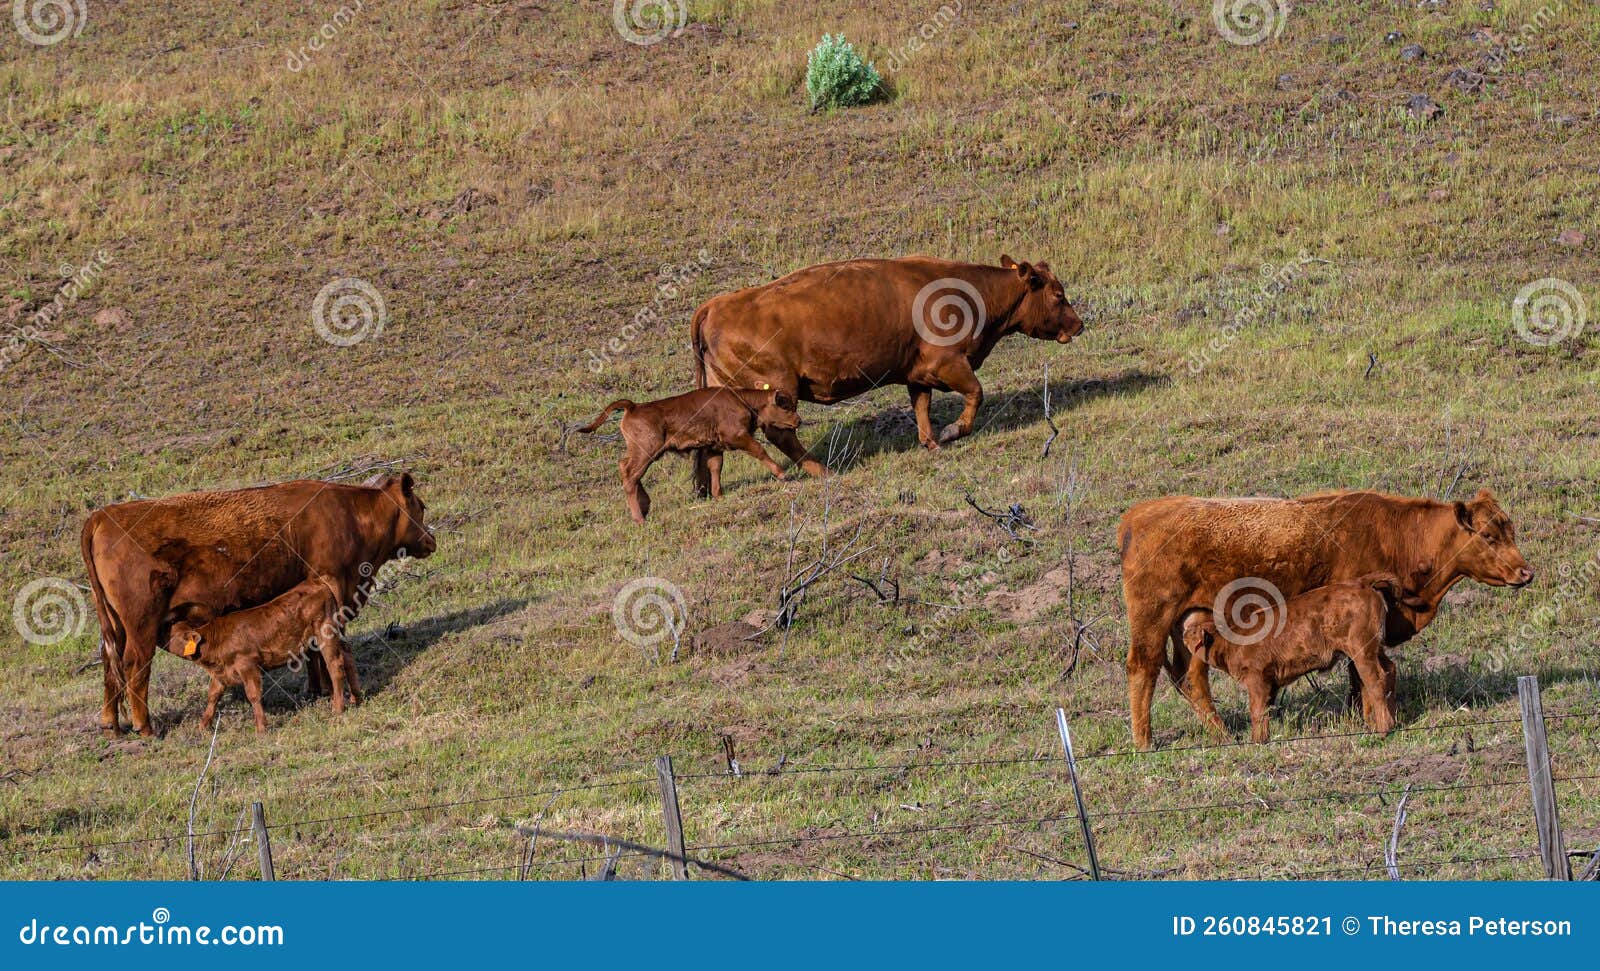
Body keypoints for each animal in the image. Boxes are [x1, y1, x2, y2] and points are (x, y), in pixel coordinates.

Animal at [80, 473, 437, 737]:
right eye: (420, 506)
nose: (431, 540)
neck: (349, 514)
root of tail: (102, 516)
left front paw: (317, 689)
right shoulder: (331, 586)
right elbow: (322, 650)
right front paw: (325, 690)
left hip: (115, 625)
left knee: (110, 663)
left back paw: (110, 723)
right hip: (141, 625)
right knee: (135, 665)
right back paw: (145, 727)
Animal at [689, 254, 1085, 495]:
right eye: (1058, 294)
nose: (1079, 325)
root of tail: (714, 306)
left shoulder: (919, 374)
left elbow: (922, 407)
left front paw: (931, 442)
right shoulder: (949, 363)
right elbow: (976, 393)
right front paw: (952, 431)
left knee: (715, 445)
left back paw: (713, 491)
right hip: (778, 390)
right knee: (780, 433)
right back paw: (823, 470)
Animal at [1118, 488, 1533, 749]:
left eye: (1509, 529)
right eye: (1488, 535)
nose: (1526, 573)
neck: (1397, 533)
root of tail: (1138, 515)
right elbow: (1360, 675)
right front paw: (1366, 719)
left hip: (1190, 621)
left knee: (1190, 676)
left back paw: (1222, 736)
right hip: (1153, 619)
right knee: (1143, 668)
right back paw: (1144, 742)